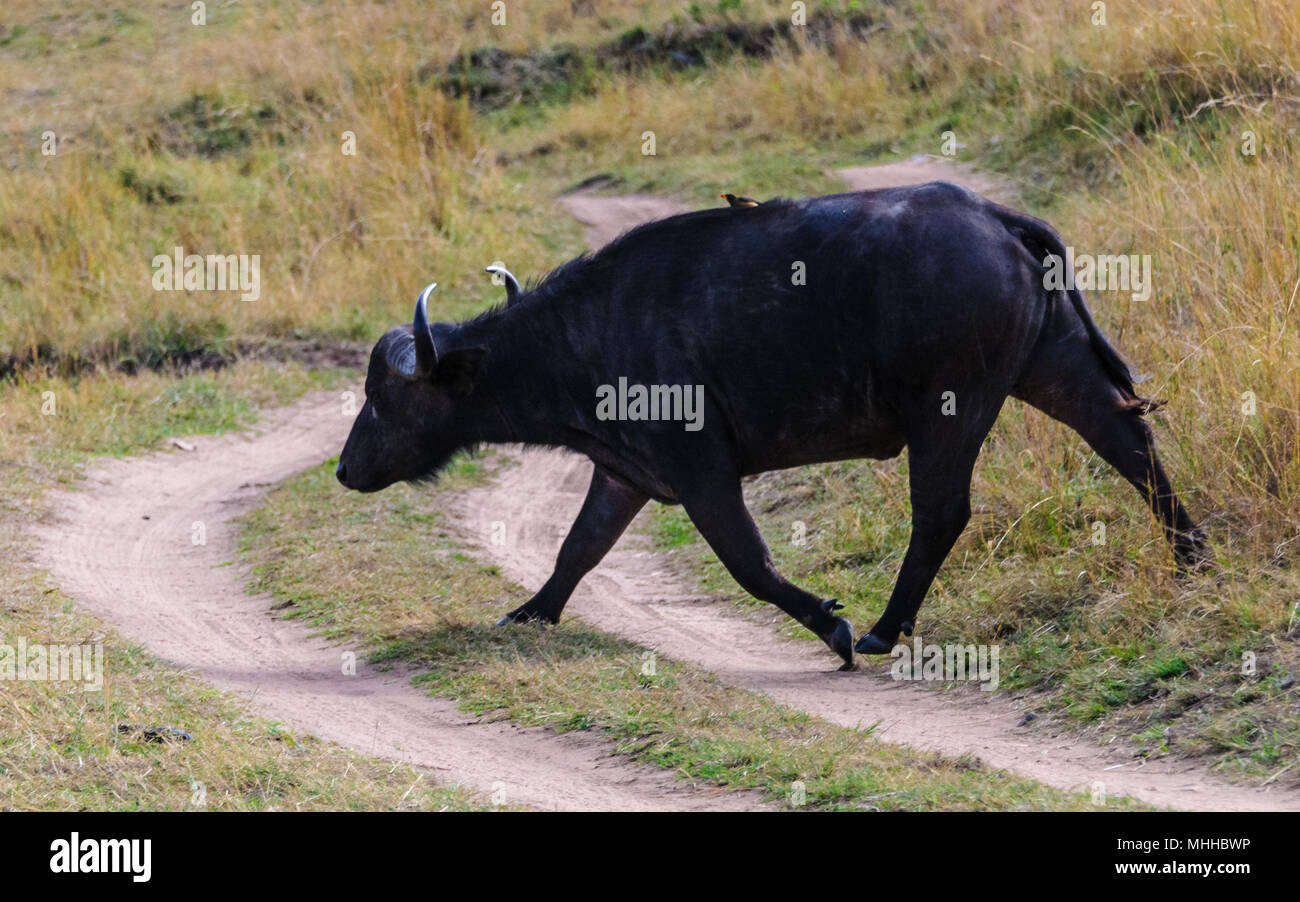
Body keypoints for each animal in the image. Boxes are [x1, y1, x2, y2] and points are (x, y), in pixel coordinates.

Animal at [337, 183, 1211, 669]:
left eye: (383, 398)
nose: (345, 469)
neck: (588, 332)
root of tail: (992, 216)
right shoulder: (624, 472)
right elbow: (576, 550)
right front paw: (528, 613)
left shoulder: (702, 475)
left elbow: (749, 565)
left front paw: (832, 626)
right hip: (1053, 367)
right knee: (1129, 444)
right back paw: (1193, 555)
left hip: (951, 408)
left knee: (942, 513)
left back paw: (883, 630)